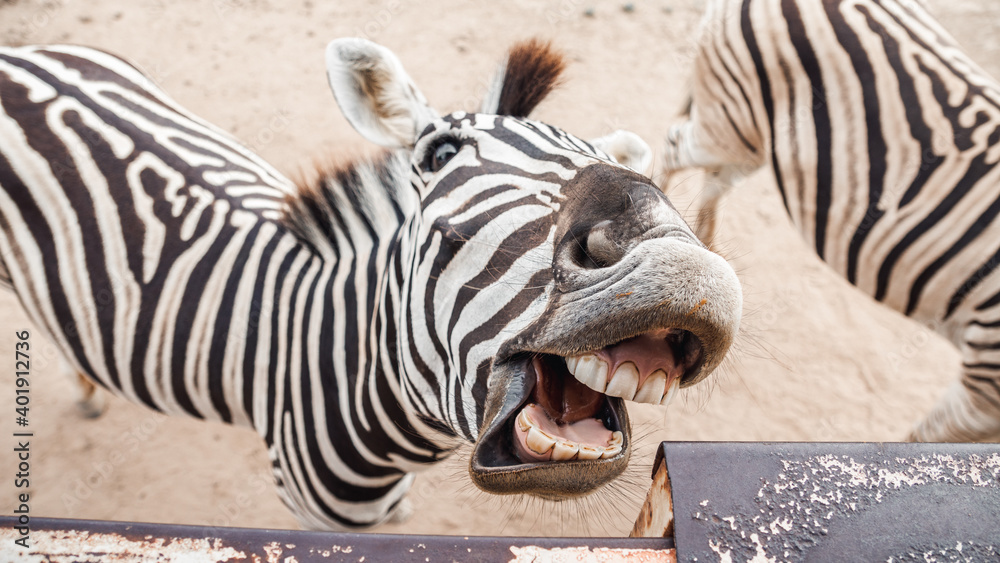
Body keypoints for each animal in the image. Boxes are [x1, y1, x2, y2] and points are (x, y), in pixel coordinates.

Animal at [663, 0, 1000, 442]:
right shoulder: (985, 385)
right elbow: (920, 440)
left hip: (749, 134)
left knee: (716, 174)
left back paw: (703, 251)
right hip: (730, 119)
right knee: (674, 144)